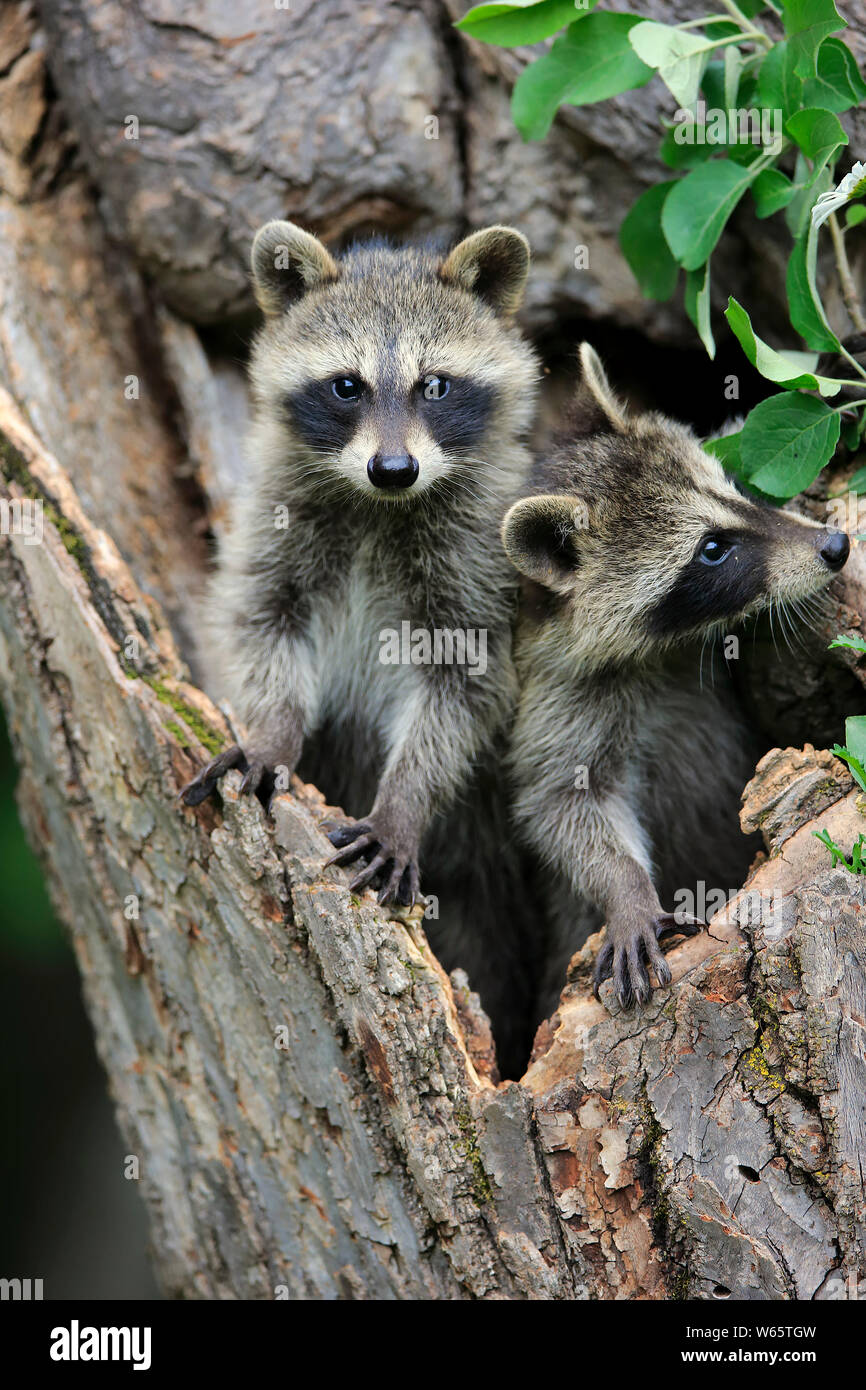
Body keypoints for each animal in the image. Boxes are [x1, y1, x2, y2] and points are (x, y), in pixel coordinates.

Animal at [181, 220, 541, 1074]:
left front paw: (403, 800)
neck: (377, 506)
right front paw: (272, 733)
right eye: (346, 386)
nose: (394, 469)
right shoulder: (278, 524)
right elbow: (260, 623)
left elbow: (463, 688)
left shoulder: (476, 560)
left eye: (435, 386)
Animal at [502, 343, 850, 1018]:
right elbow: (562, 800)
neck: (664, 651)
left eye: (733, 487)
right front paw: (626, 891)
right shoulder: (563, 694)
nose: (837, 545)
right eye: (712, 549)